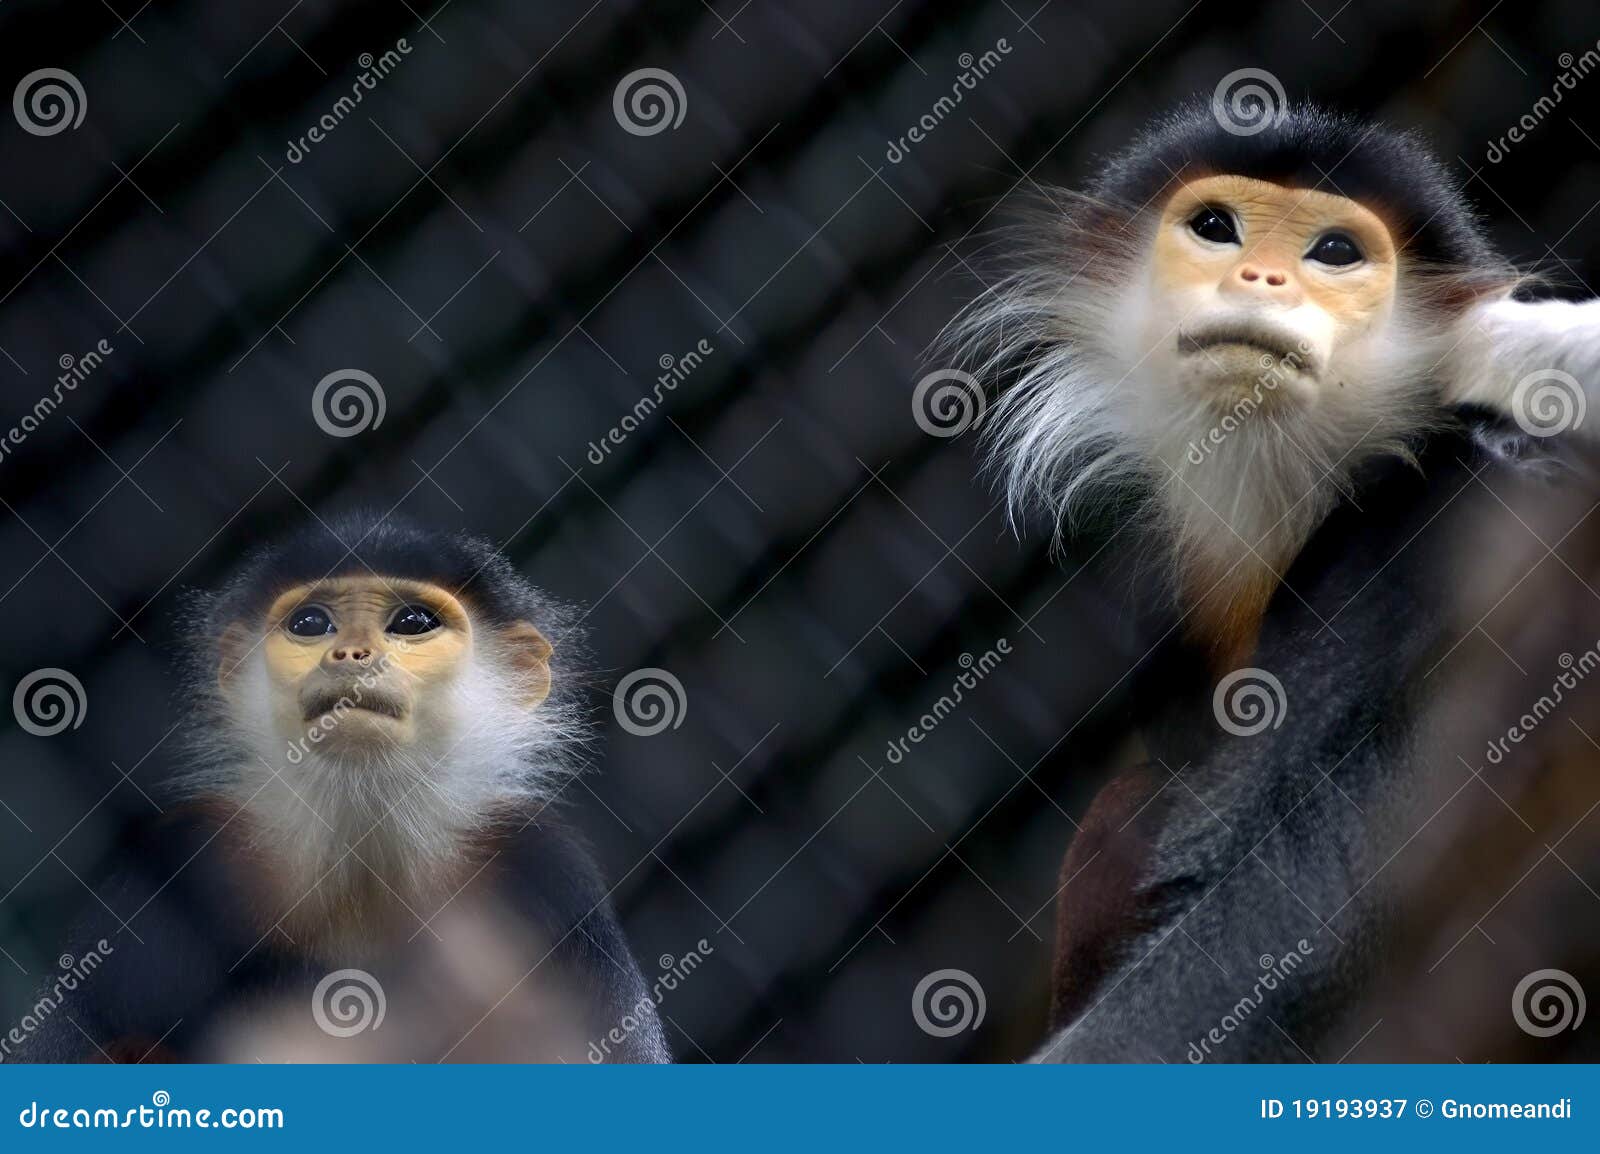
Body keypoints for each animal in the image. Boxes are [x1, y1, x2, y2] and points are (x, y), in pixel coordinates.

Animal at [7, 514, 669, 1063]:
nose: (351, 653)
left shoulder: (547, 869)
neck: (362, 841)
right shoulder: (184, 853)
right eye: (310, 624)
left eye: (412, 623)